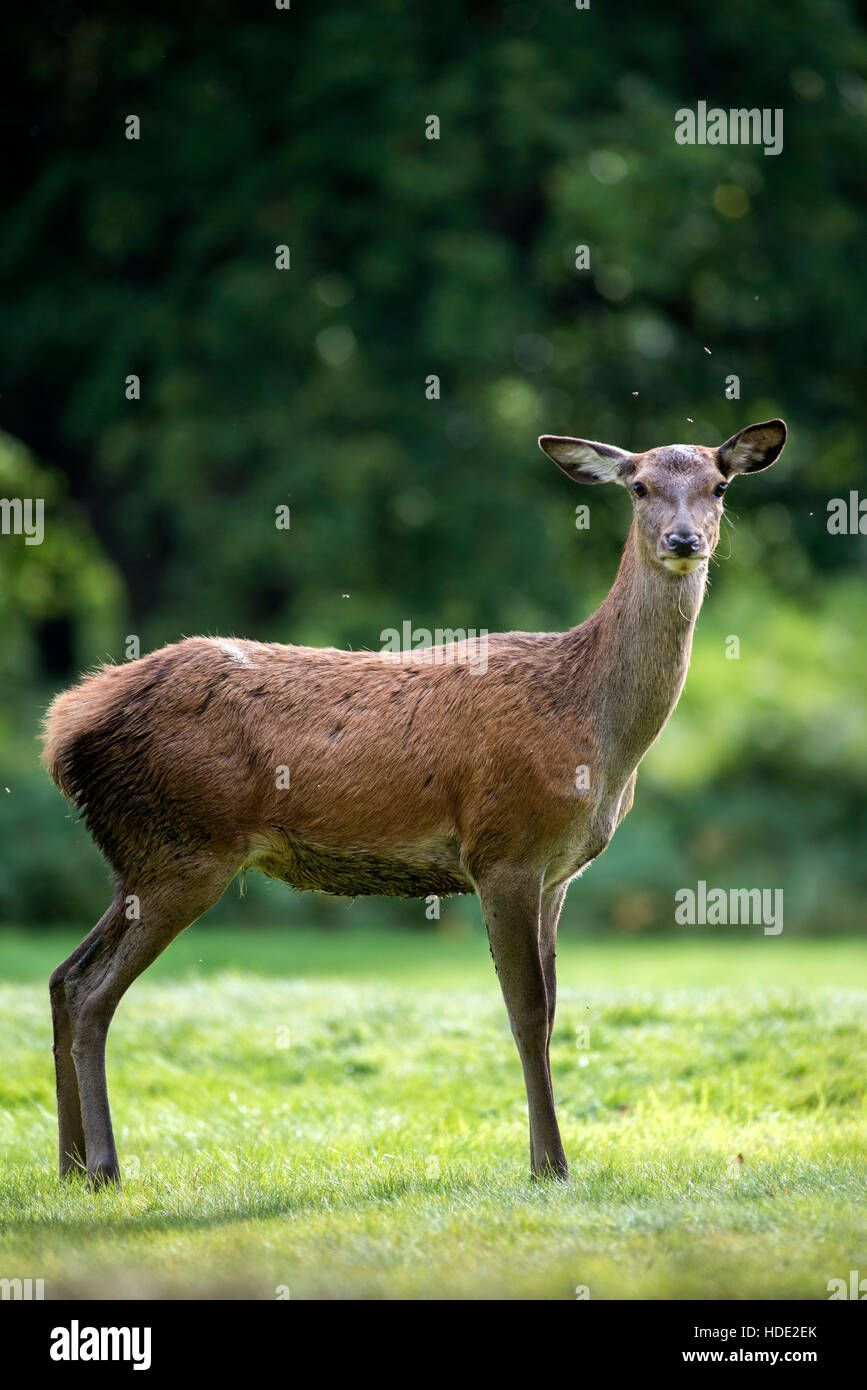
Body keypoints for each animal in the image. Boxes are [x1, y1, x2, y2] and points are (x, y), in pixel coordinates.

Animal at [42, 417, 786, 1187]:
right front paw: (550, 1165)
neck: (597, 730)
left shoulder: (559, 872)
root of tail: (62, 728)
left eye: (718, 486)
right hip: (186, 847)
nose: (683, 540)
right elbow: (526, 1012)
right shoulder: (503, 849)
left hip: (142, 854)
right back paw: (105, 1166)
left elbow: (552, 1010)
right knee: (94, 993)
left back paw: (68, 1164)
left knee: (64, 977)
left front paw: (546, 1156)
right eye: (639, 486)